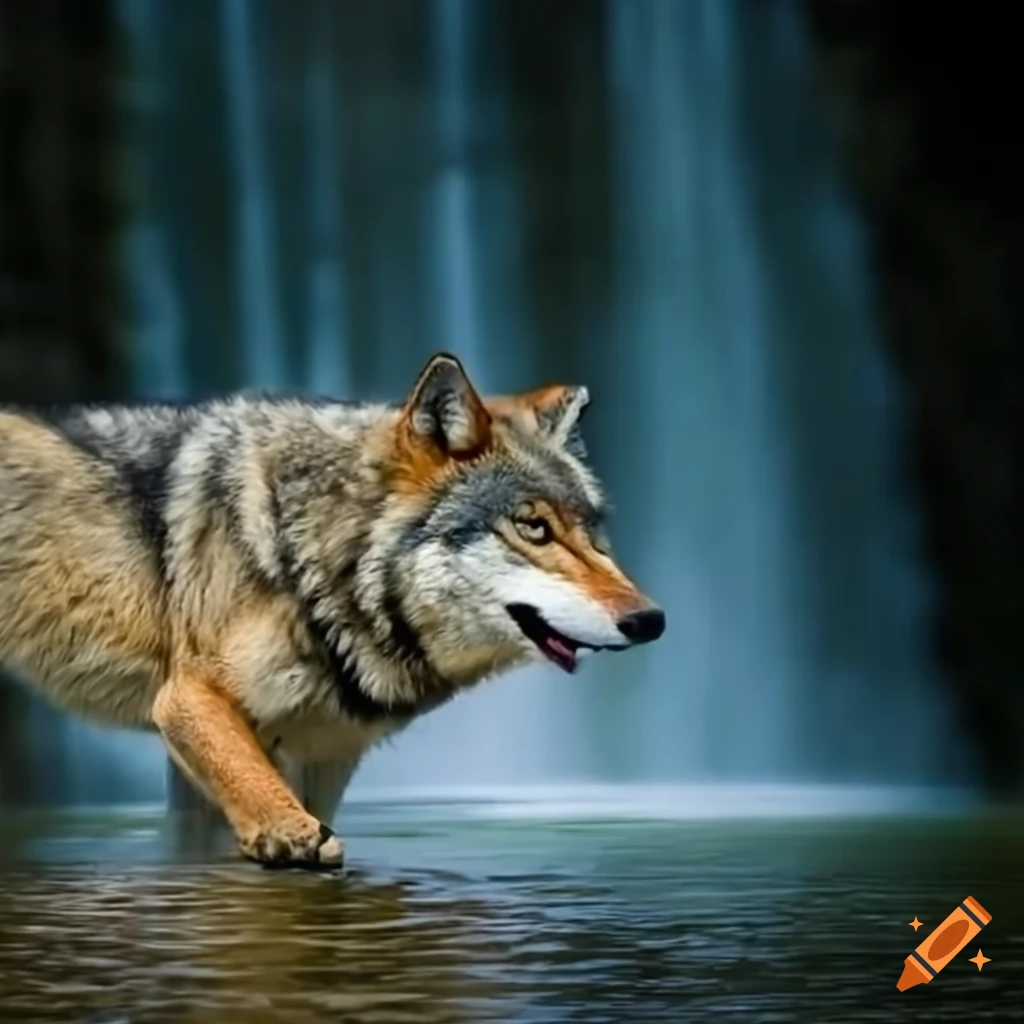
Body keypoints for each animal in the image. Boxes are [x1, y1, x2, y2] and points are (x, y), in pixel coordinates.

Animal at [0, 353, 664, 867]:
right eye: (533, 528)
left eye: (593, 535)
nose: (652, 621)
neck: (316, 565)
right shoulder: (187, 699)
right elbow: (256, 789)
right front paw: (289, 835)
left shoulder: (321, 753)